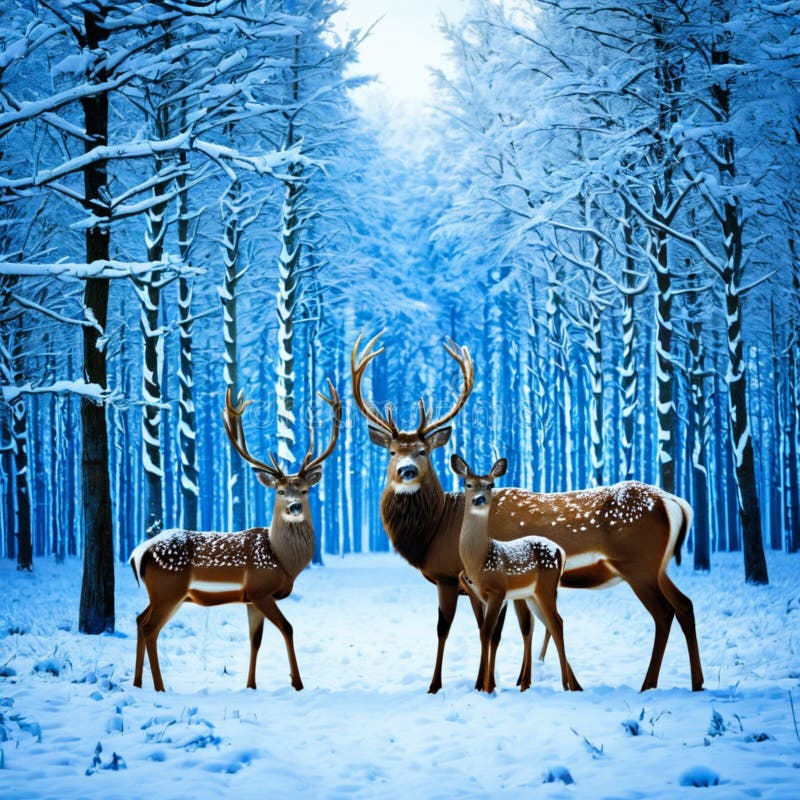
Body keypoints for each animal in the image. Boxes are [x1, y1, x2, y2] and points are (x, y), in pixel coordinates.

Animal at [130, 380, 341, 692]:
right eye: (280, 491)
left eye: (305, 490)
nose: (294, 506)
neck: (283, 561)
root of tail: (138, 552)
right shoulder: (261, 590)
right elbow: (288, 628)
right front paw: (298, 683)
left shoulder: (251, 599)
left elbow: (255, 640)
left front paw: (251, 685)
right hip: (168, 589)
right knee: (149, 627)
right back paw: (159, 687)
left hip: (160, 593)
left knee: (138, 619)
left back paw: (137, 683)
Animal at [451, 453, 580, 693]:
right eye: (468, 484)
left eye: (491, 485)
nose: (480, 499)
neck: (479, 559)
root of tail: (561, 550)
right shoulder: (483, 596)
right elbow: (484, 632)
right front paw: (482, 685)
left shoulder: (498, 591)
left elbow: (487, 632)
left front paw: (486, 688)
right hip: (531, 595)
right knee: (549, 623)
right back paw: (572, 684)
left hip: (546, 587)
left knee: (557, 623)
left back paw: (567, 685)